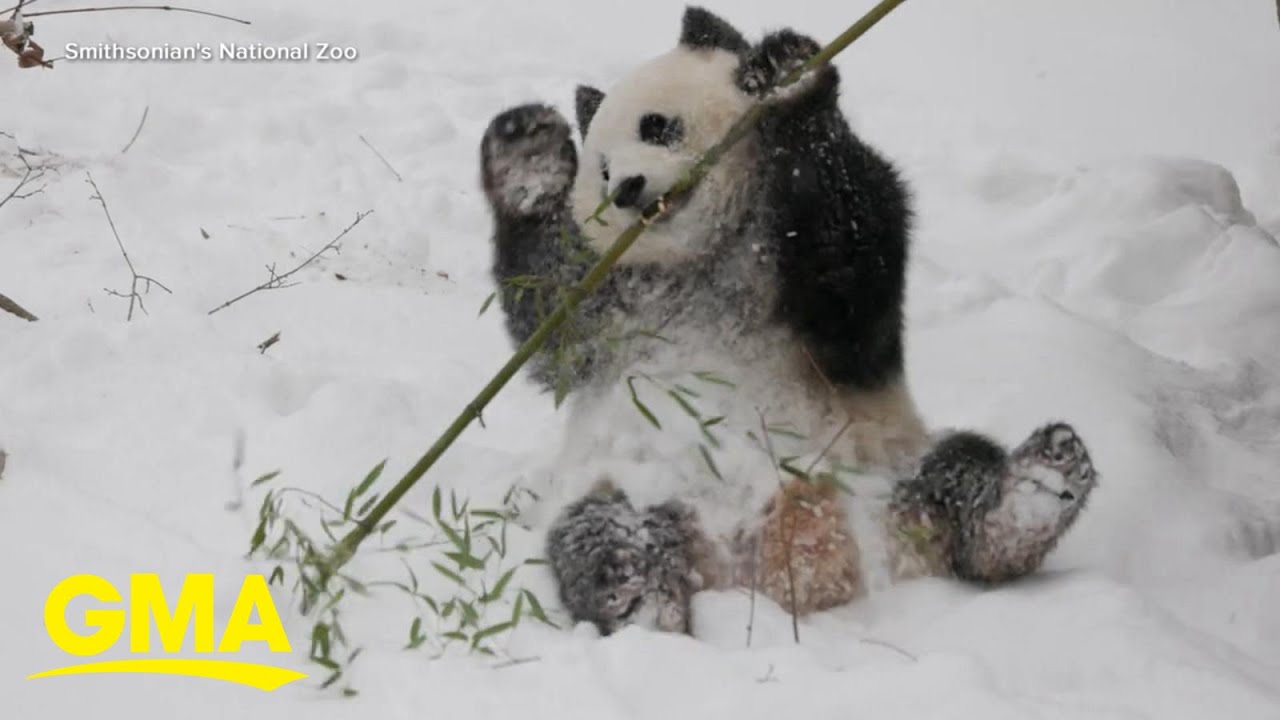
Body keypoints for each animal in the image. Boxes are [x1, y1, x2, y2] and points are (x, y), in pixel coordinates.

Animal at [479, 7, 1098, 634]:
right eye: (601, 171)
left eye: (656, 126)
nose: (627, 189)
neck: (706, 257)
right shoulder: (617, 302)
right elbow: (553, 321)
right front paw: (529, 157)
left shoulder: (817, 283)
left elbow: (850, 265)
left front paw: (790, 78)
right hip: (638, 484)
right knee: (598, 529)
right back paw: (637, 594)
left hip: (887, 470)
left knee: (959, 474)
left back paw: (1032, 494)